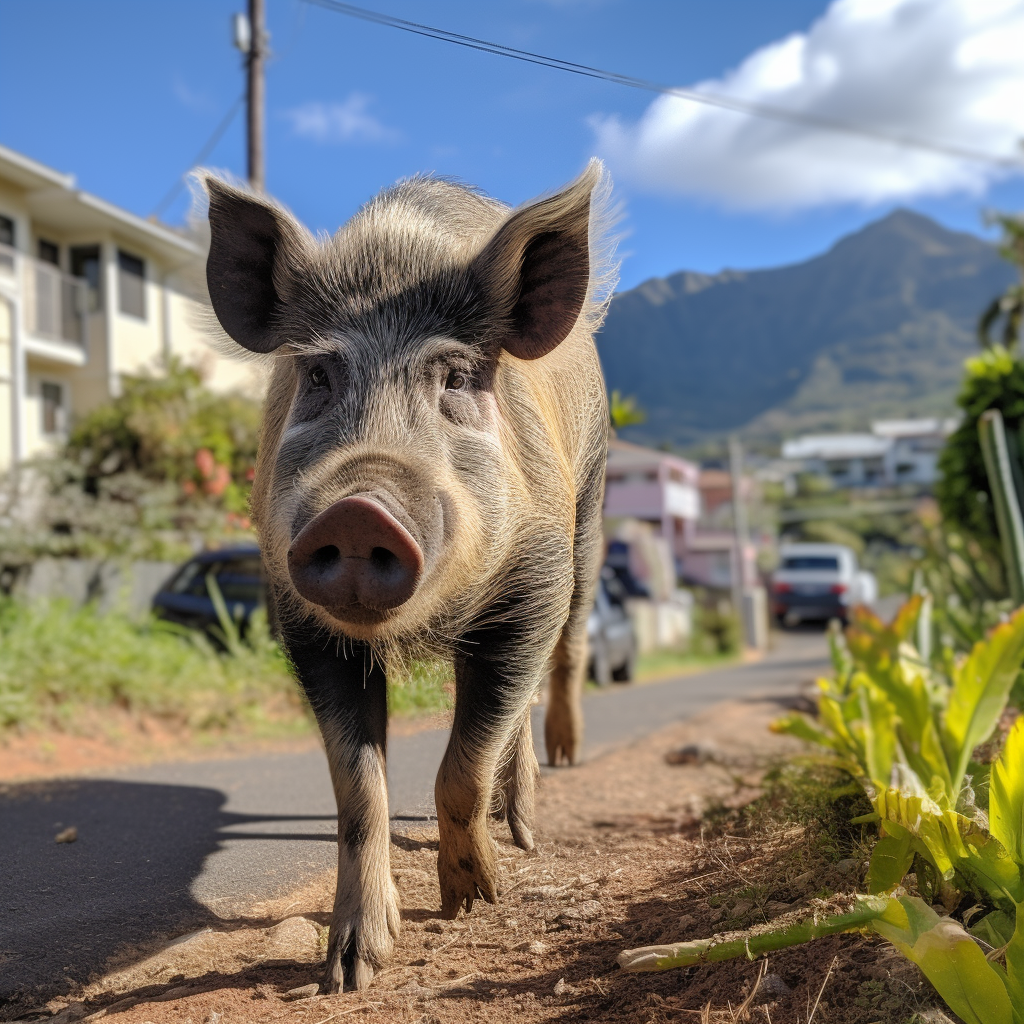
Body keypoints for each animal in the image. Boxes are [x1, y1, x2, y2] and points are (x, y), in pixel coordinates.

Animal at [202, 161, 616, 992]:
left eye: (455, 376)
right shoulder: (300, 620)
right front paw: (348, 970)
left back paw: (539, 806)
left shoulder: (533, 583)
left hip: (587, 512)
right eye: (318, 374)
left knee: (560, 661)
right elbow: (357, 785)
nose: (358, 509)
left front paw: (471, 901)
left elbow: (463, 761)